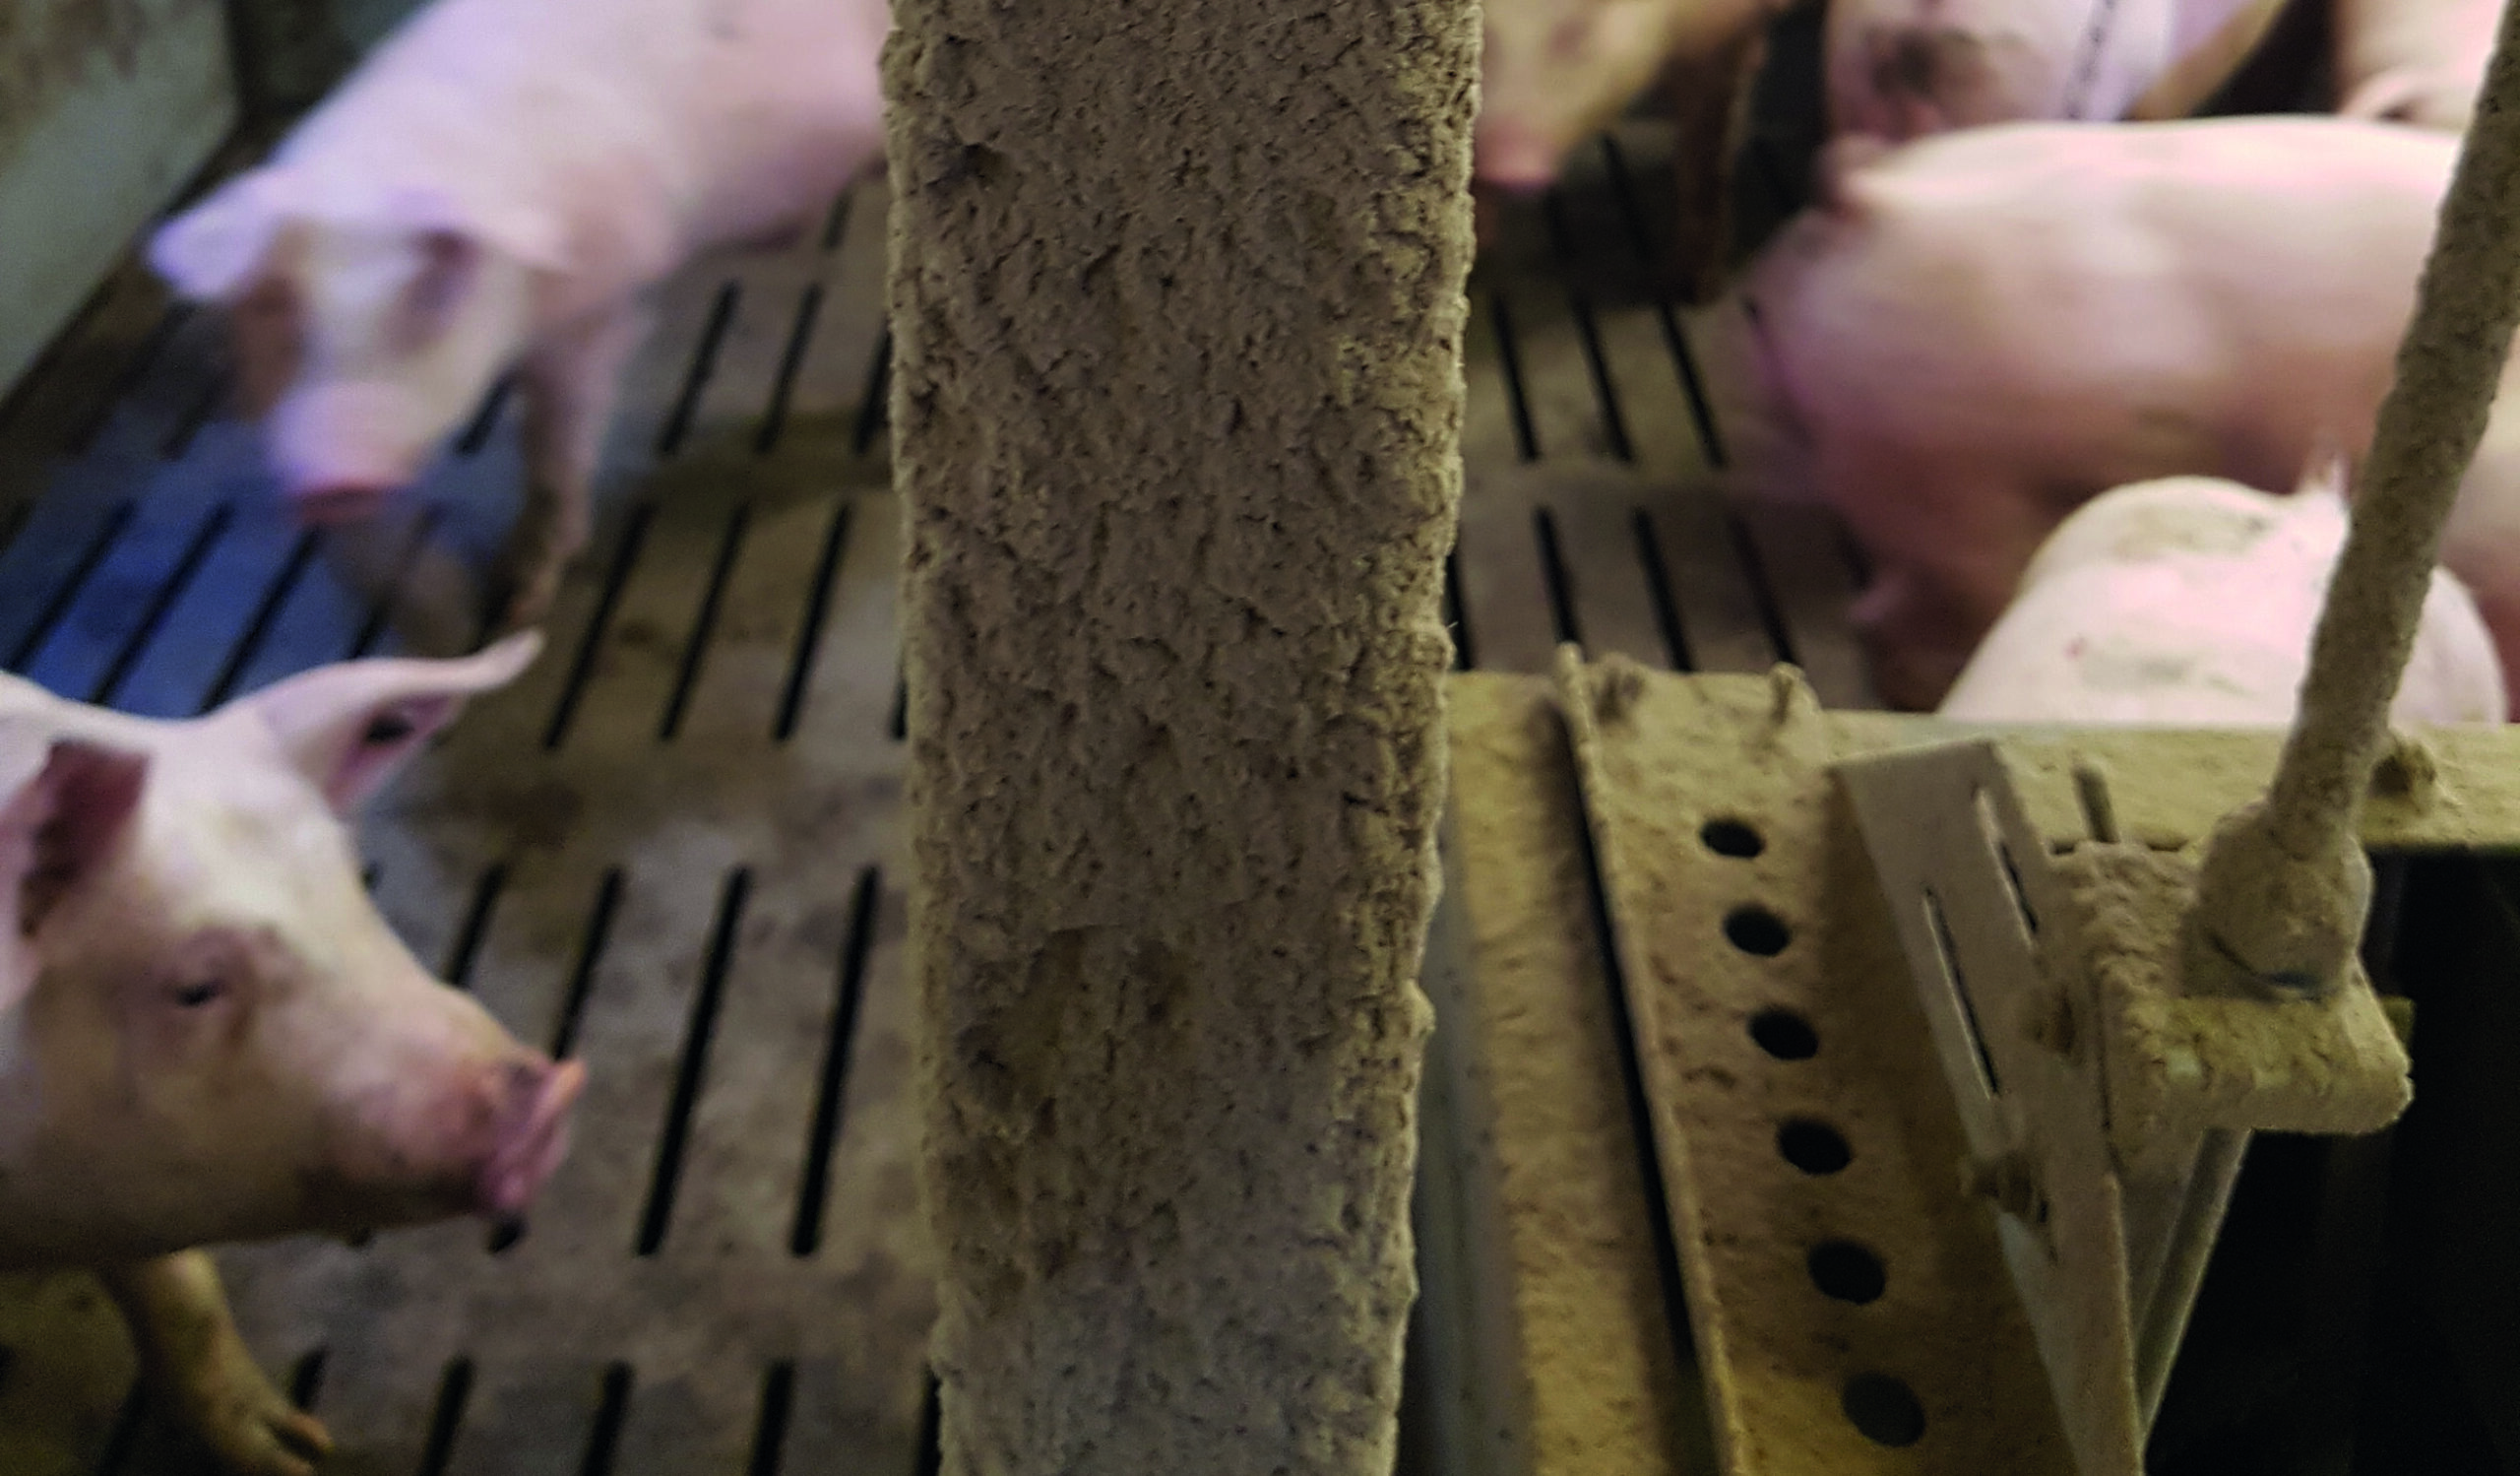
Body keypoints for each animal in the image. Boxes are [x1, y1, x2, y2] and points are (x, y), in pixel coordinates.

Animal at [145, 0, 892, 635]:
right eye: (274, 301)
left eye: (427, 290)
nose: (338, 481)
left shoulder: (600, 291)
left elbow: (556, 435)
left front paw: (516, 605)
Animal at [1474, 0, 1786, 302]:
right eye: (1483, 39)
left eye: (1575, 33)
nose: (1508, 168)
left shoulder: (1723, 39)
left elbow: (1707, 159)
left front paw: (1692, 291)